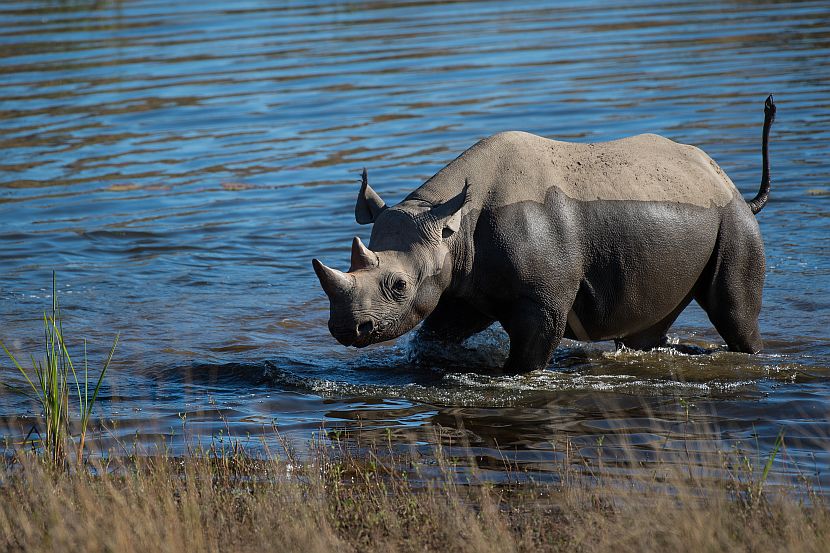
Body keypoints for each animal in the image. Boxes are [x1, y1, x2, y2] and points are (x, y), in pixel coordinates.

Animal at [312, 96, 776, 373]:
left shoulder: (542, 300)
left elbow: (528, 355)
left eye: (399, 285)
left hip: (732, 218)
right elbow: (437, 333)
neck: (449, 226)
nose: (345, 329)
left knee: (734, 312)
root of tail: (726, 180)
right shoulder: (464, 283)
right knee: (646, 329)